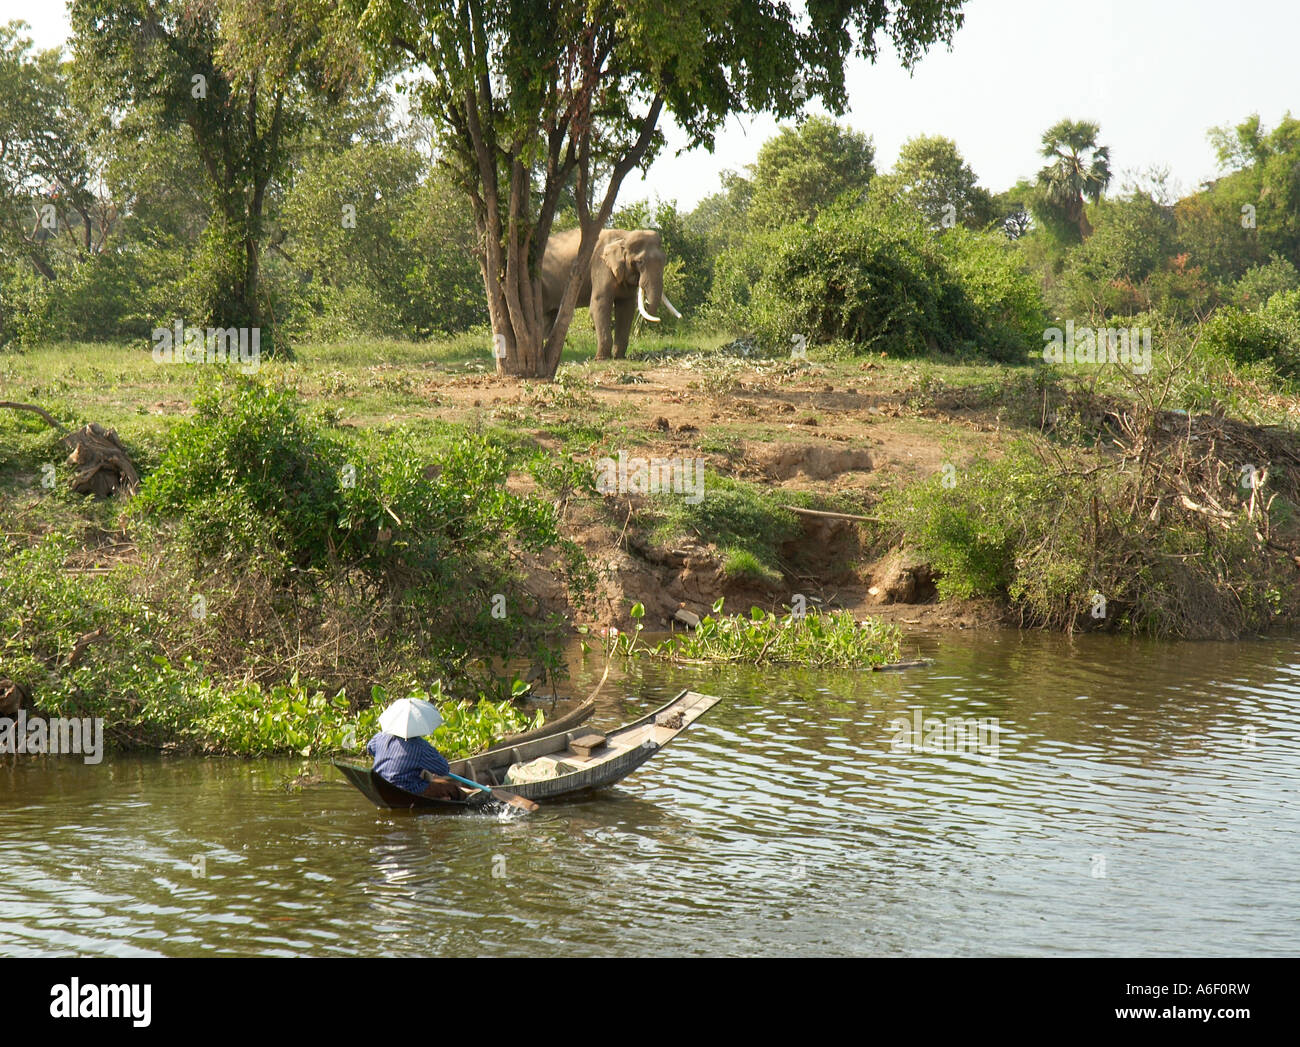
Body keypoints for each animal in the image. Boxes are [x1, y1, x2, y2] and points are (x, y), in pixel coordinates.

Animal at [540, 227, 681, 360]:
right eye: (640, 262)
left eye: (664, 260)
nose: (659, 319)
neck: (624, 237)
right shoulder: (601, 266)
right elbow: (599, 304)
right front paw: (601, 359)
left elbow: (626, 307)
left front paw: (619, 357)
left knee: (551, 315)